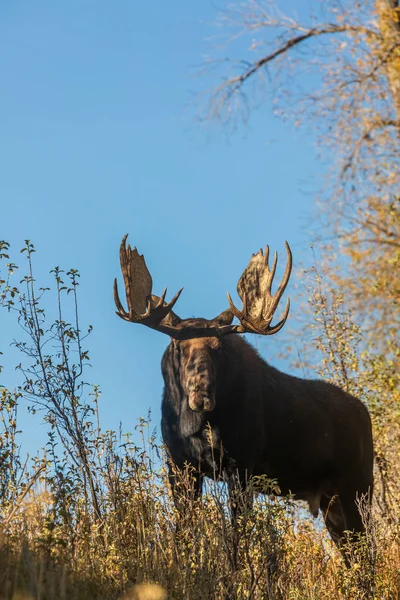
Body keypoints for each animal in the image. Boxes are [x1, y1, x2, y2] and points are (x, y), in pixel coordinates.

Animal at [114, 233, 374, 556]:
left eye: (219, 347)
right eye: (178, 346)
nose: (201, 393)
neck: (194, 425)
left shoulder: (242, 467)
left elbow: (238, 535)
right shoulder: (180, 465)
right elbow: (184, 532)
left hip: (358, 488)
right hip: (331, 503)